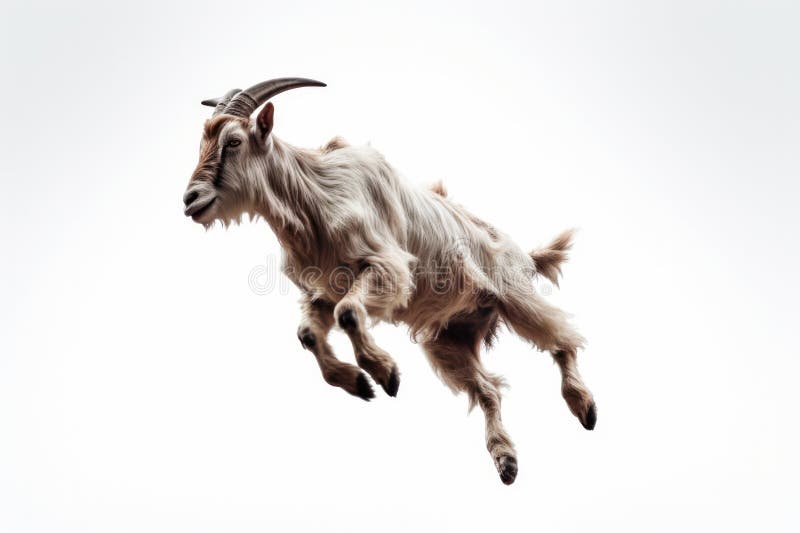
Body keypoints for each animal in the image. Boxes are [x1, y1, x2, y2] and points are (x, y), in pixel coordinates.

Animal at [182, 77, 596, 485]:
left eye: (233, 142)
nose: (190, 199)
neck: (314, 197)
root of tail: (523, 253)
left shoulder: (387, 267)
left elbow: (349, 313)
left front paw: (385, 374)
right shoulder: (321, 293)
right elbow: (308, 333)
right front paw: (356, 382)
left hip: (514, 295)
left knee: (562, 340)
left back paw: (585, 407)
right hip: (449, 339)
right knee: (489, 390)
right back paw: (506, 461)